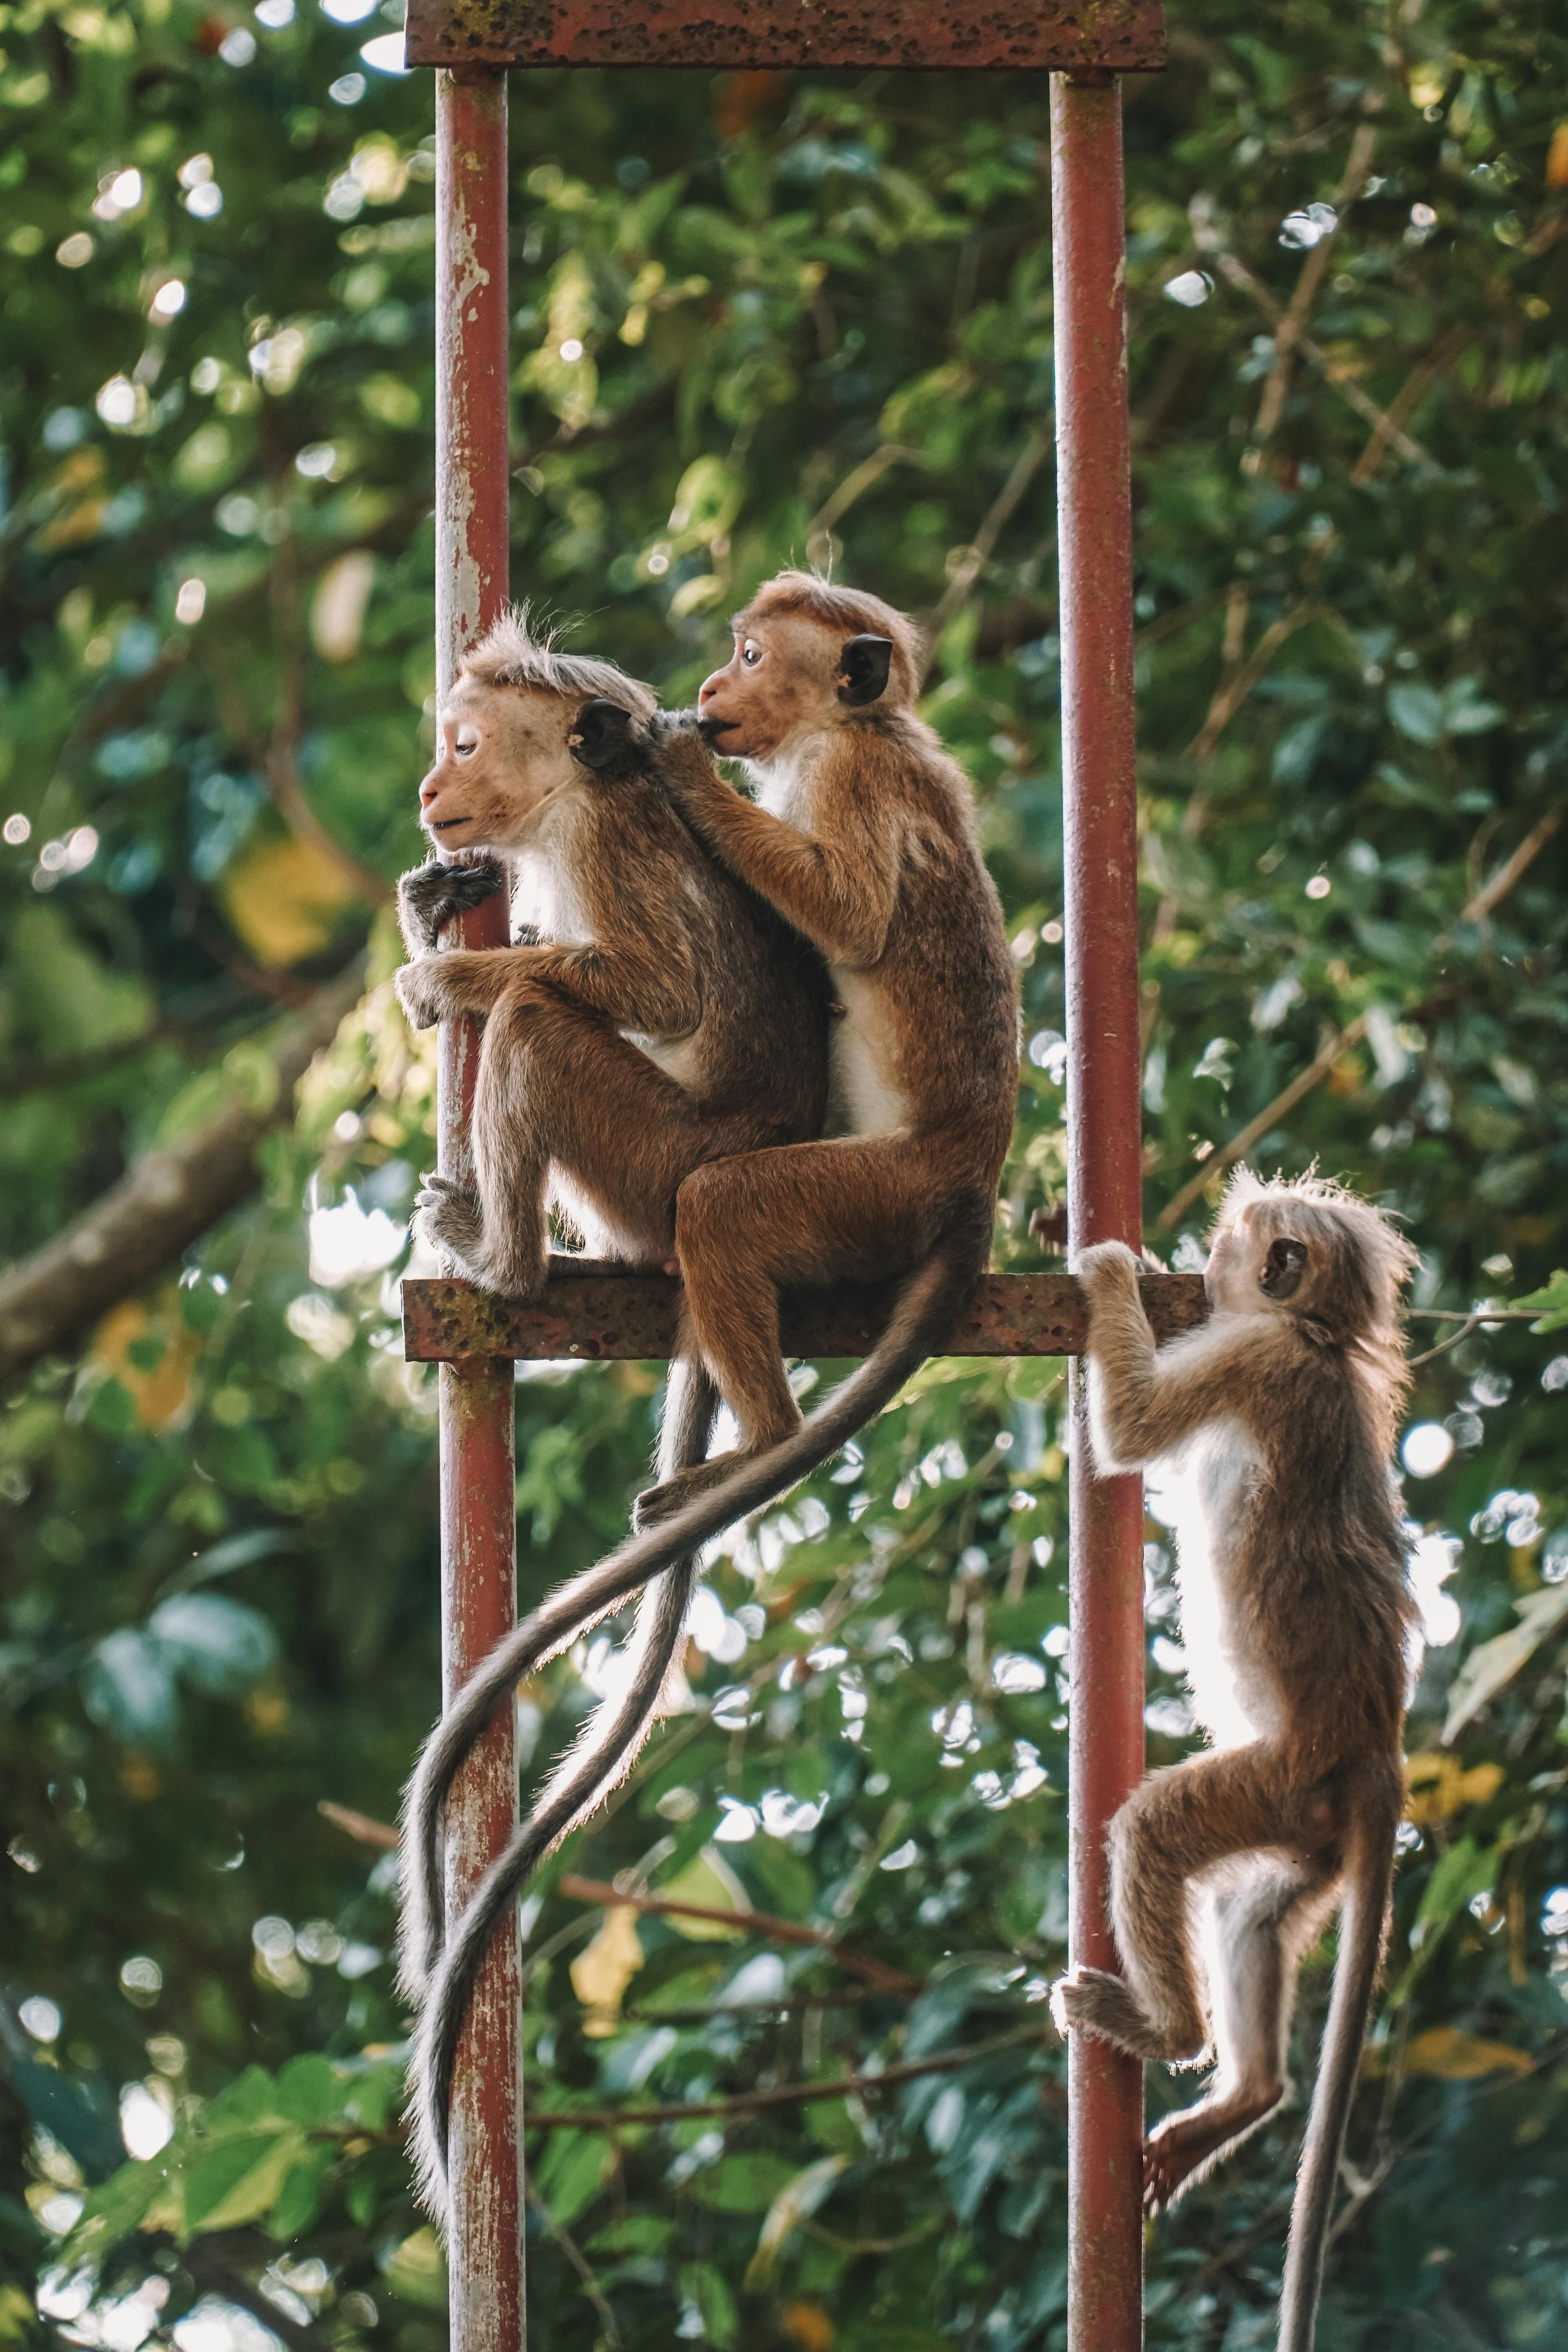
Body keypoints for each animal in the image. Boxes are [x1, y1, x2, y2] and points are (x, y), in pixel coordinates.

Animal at [400, 573, 1021, 2217]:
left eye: (467, 740)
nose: (429, 788)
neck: (569, 800)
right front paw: (443, 893)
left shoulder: (621, 845)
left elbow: (651, 984)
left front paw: (466, 963)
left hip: (670, 1166)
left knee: (574, 1065)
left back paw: (507, 1257)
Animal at [1050, 1171, 1418, 2352]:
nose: (1206, 1249)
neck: (1315, 1336)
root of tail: (1377, 1757)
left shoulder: (1250, 1356)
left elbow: (1129, 1432)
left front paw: (1107, 1274)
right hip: (1306, 1830)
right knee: (1251, 1913)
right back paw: (1249, 2092)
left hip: (1276, 1780)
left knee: (1154, 1828)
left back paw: (1160, 2027)